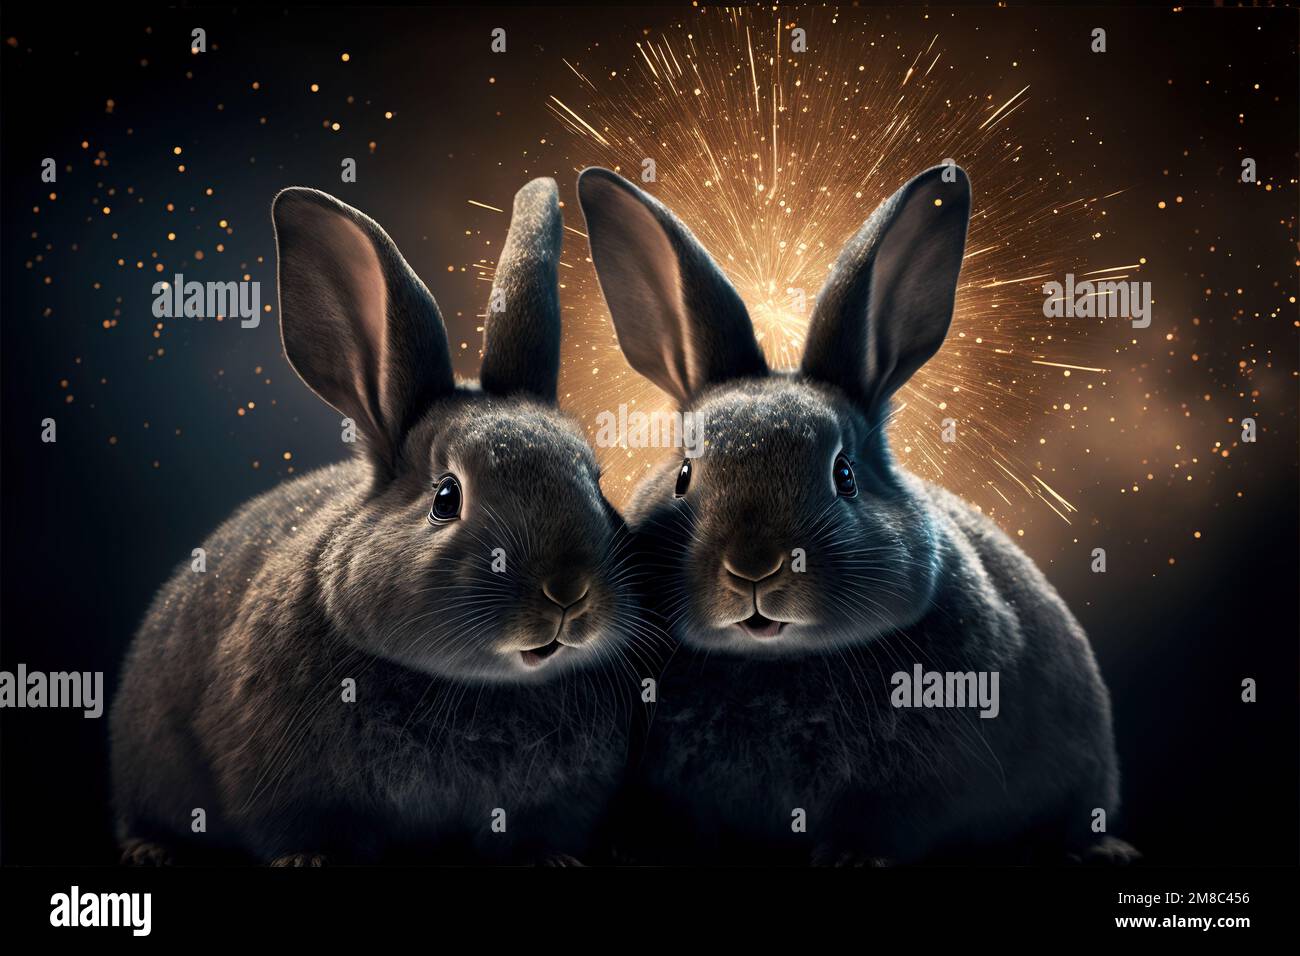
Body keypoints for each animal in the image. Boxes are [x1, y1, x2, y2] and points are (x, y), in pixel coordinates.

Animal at [109, 178, 647, 866]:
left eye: (596, 481)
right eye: (446, 497)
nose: (568, 590)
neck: (474, 685)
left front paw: (549, 859)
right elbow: (299, 824)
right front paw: (308, 861)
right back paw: (151, 849)